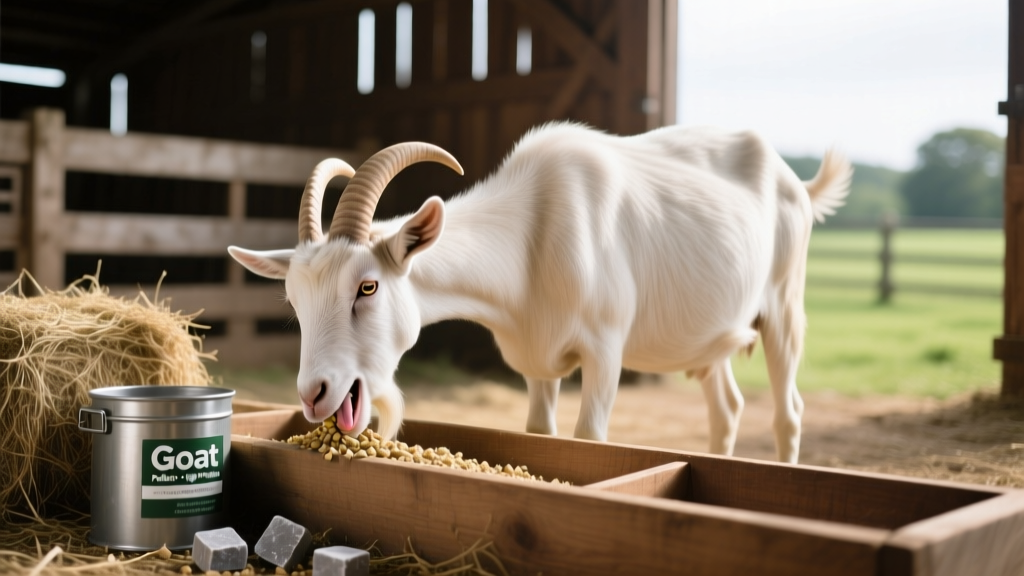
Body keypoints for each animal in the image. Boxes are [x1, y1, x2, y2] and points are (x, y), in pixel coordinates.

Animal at [228, 122, 851, 463]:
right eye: (296, 302)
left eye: (367, 285)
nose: (314, 394)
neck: (532, 235)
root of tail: (795, 181)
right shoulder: (535, 360)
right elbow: (540, 433)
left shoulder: (604, 348)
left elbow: (589, 435)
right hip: (711, 339)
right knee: (727, 410)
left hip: (785, 306)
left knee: (788, 412)